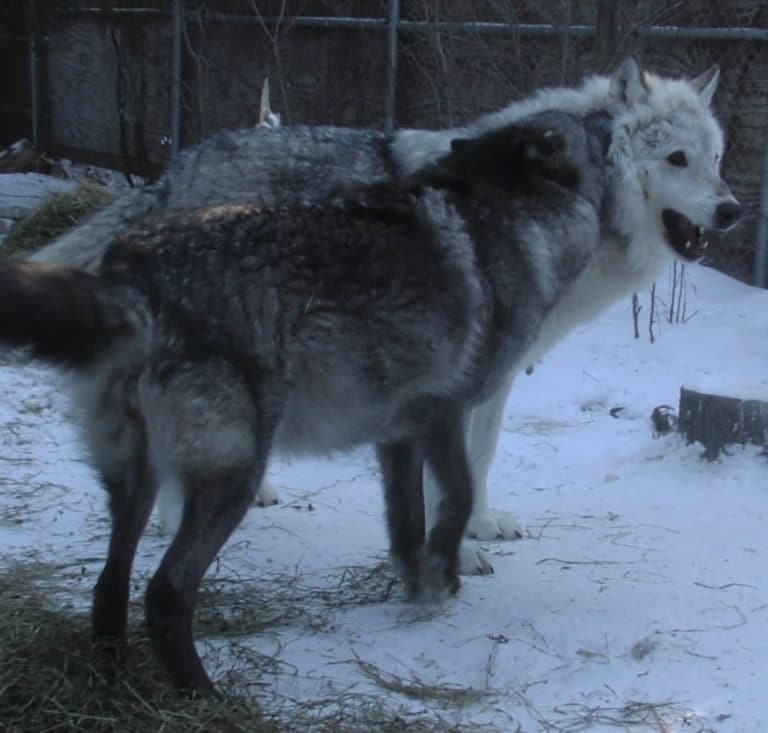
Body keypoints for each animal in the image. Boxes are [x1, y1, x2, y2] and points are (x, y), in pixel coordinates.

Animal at [0, 111, 608, 692]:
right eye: (590, 133)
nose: (610, 124)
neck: (506, 213)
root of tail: (133, 271)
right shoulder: (445, 412)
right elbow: (456, 497)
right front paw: (442, 573)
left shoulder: (399, 433)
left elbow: (406, 522)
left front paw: (418, 584)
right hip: (234, 476)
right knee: (165, 590)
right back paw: (205, 696)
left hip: (138, 481)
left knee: (110, 584)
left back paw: (112, 680)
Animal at [30, 58, 742, 575]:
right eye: (676, 159)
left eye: (715, 159)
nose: (732, 211)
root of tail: (186, 161)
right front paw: (458, 550)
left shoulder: (499, 376)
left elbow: (480, 455)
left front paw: (482, 524)